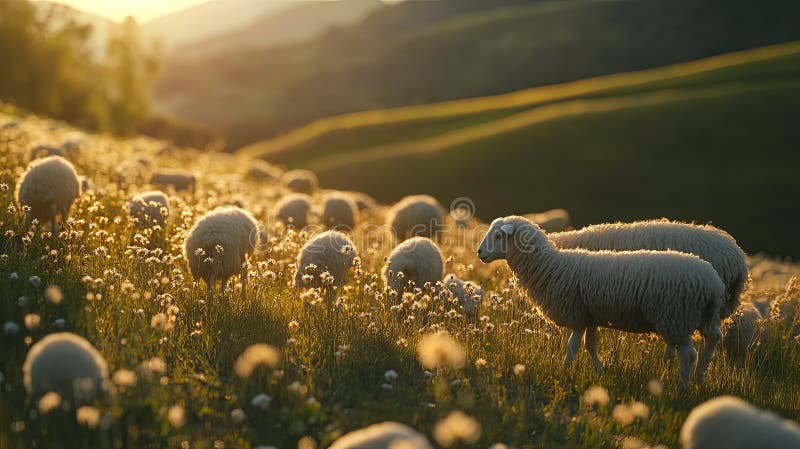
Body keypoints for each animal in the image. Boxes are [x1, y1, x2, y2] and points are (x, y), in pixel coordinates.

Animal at [477, 216, 725, 387]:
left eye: (498, 236)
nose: (479, 252)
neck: (551, 267)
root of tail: (712, 282)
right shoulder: (590, 317)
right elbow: (590, 346)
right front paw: (599, 371)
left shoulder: (576, 315)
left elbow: (572, 347)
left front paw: (564, 371)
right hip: (705, 317)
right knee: (711, 342)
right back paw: (700, 378)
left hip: (676, 316)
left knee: (689, 354)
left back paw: (682, 386)